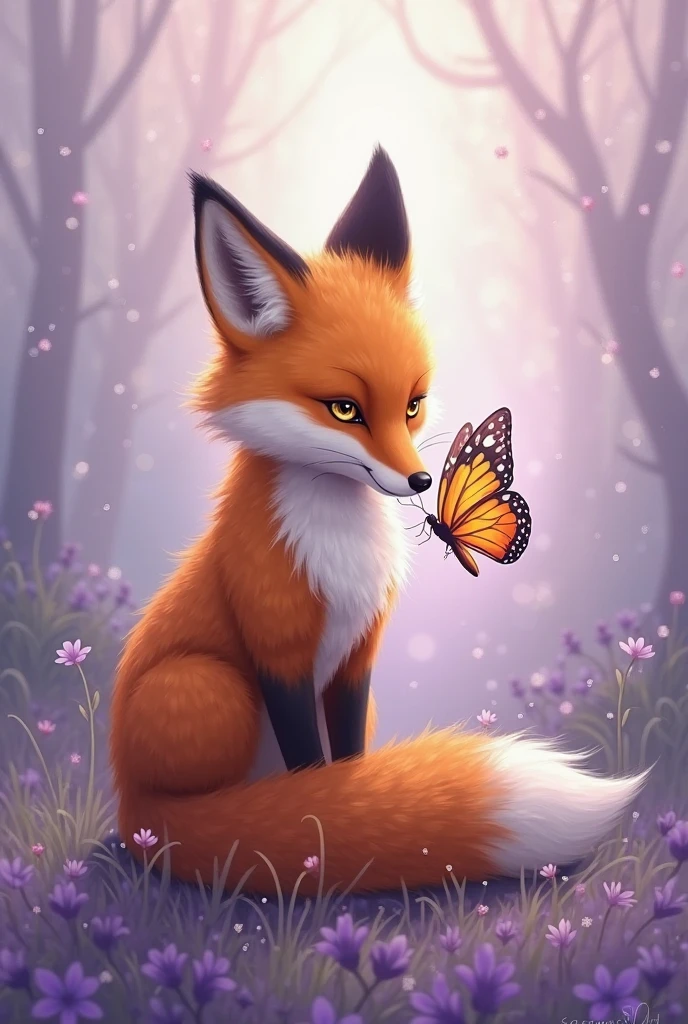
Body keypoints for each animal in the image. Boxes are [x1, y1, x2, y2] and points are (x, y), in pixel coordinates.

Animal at [110, 146, 645, 895]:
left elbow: (345, 766)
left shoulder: (358, 656)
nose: (420, 481)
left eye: (413, 404)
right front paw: (322, 829)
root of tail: (129, 803)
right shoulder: (280, 652)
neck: (340, 553)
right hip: (205, 685)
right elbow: (313, 775)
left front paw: (347, 813)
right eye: (345, 409)